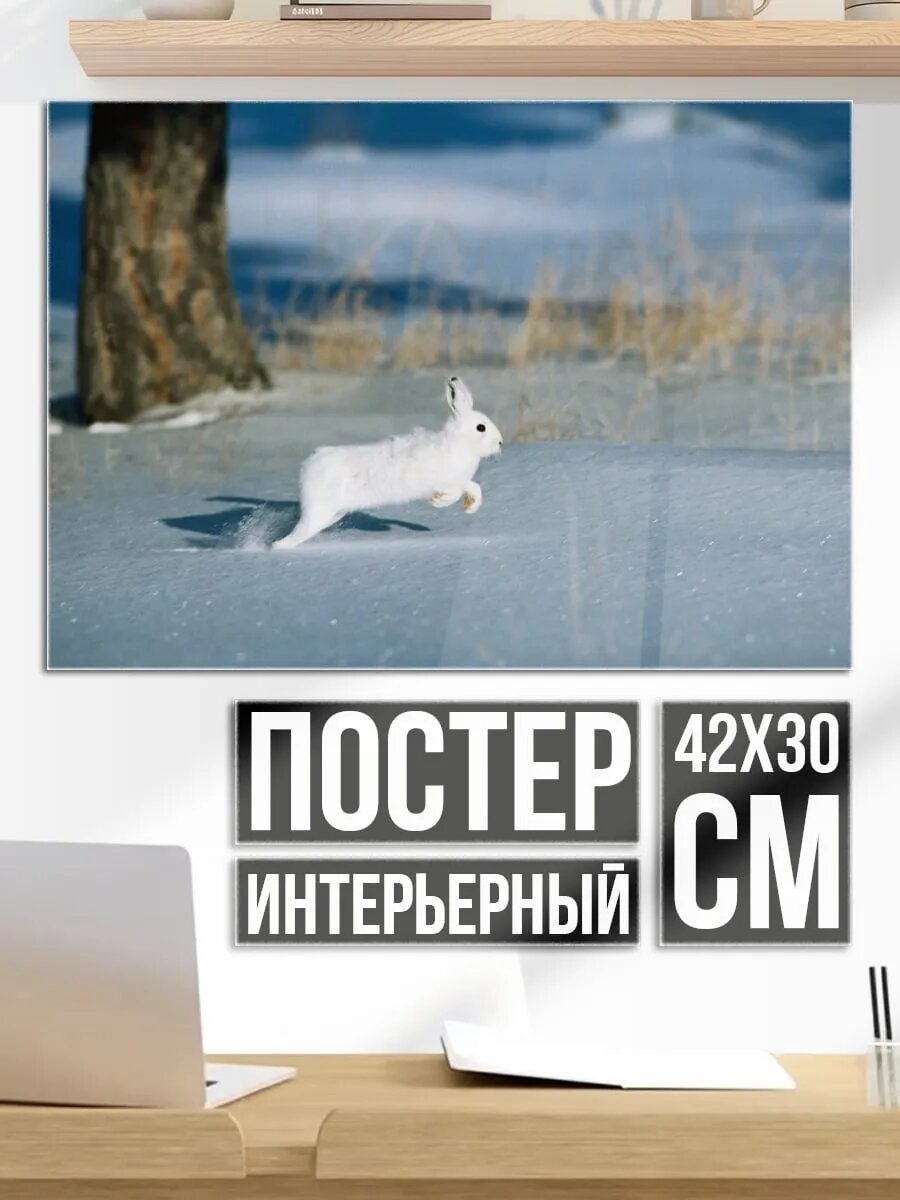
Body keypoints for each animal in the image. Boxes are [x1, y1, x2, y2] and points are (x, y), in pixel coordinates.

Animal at [272, 376, 503, 550]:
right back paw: (276, 548)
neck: (460, 443)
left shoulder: (460, 480)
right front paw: (439, 502)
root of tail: (308, 466)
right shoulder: (443, 480)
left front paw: (470, 508)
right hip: (319, 511)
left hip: (333, 513)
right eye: (481, 428)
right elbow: (454, 492)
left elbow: (474, 487)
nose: (500, 442)